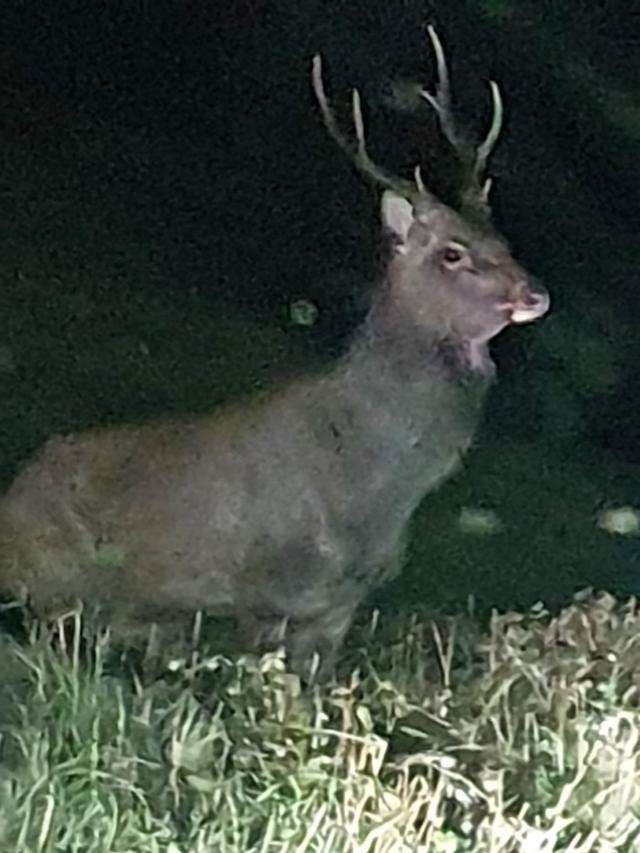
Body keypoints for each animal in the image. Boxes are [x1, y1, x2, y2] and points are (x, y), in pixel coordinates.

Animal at [0, 29, 549, 674]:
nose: (534, 293)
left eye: (503, 241)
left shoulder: (338, 609)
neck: (371, 490)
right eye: (452, 253)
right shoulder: (263, 589)